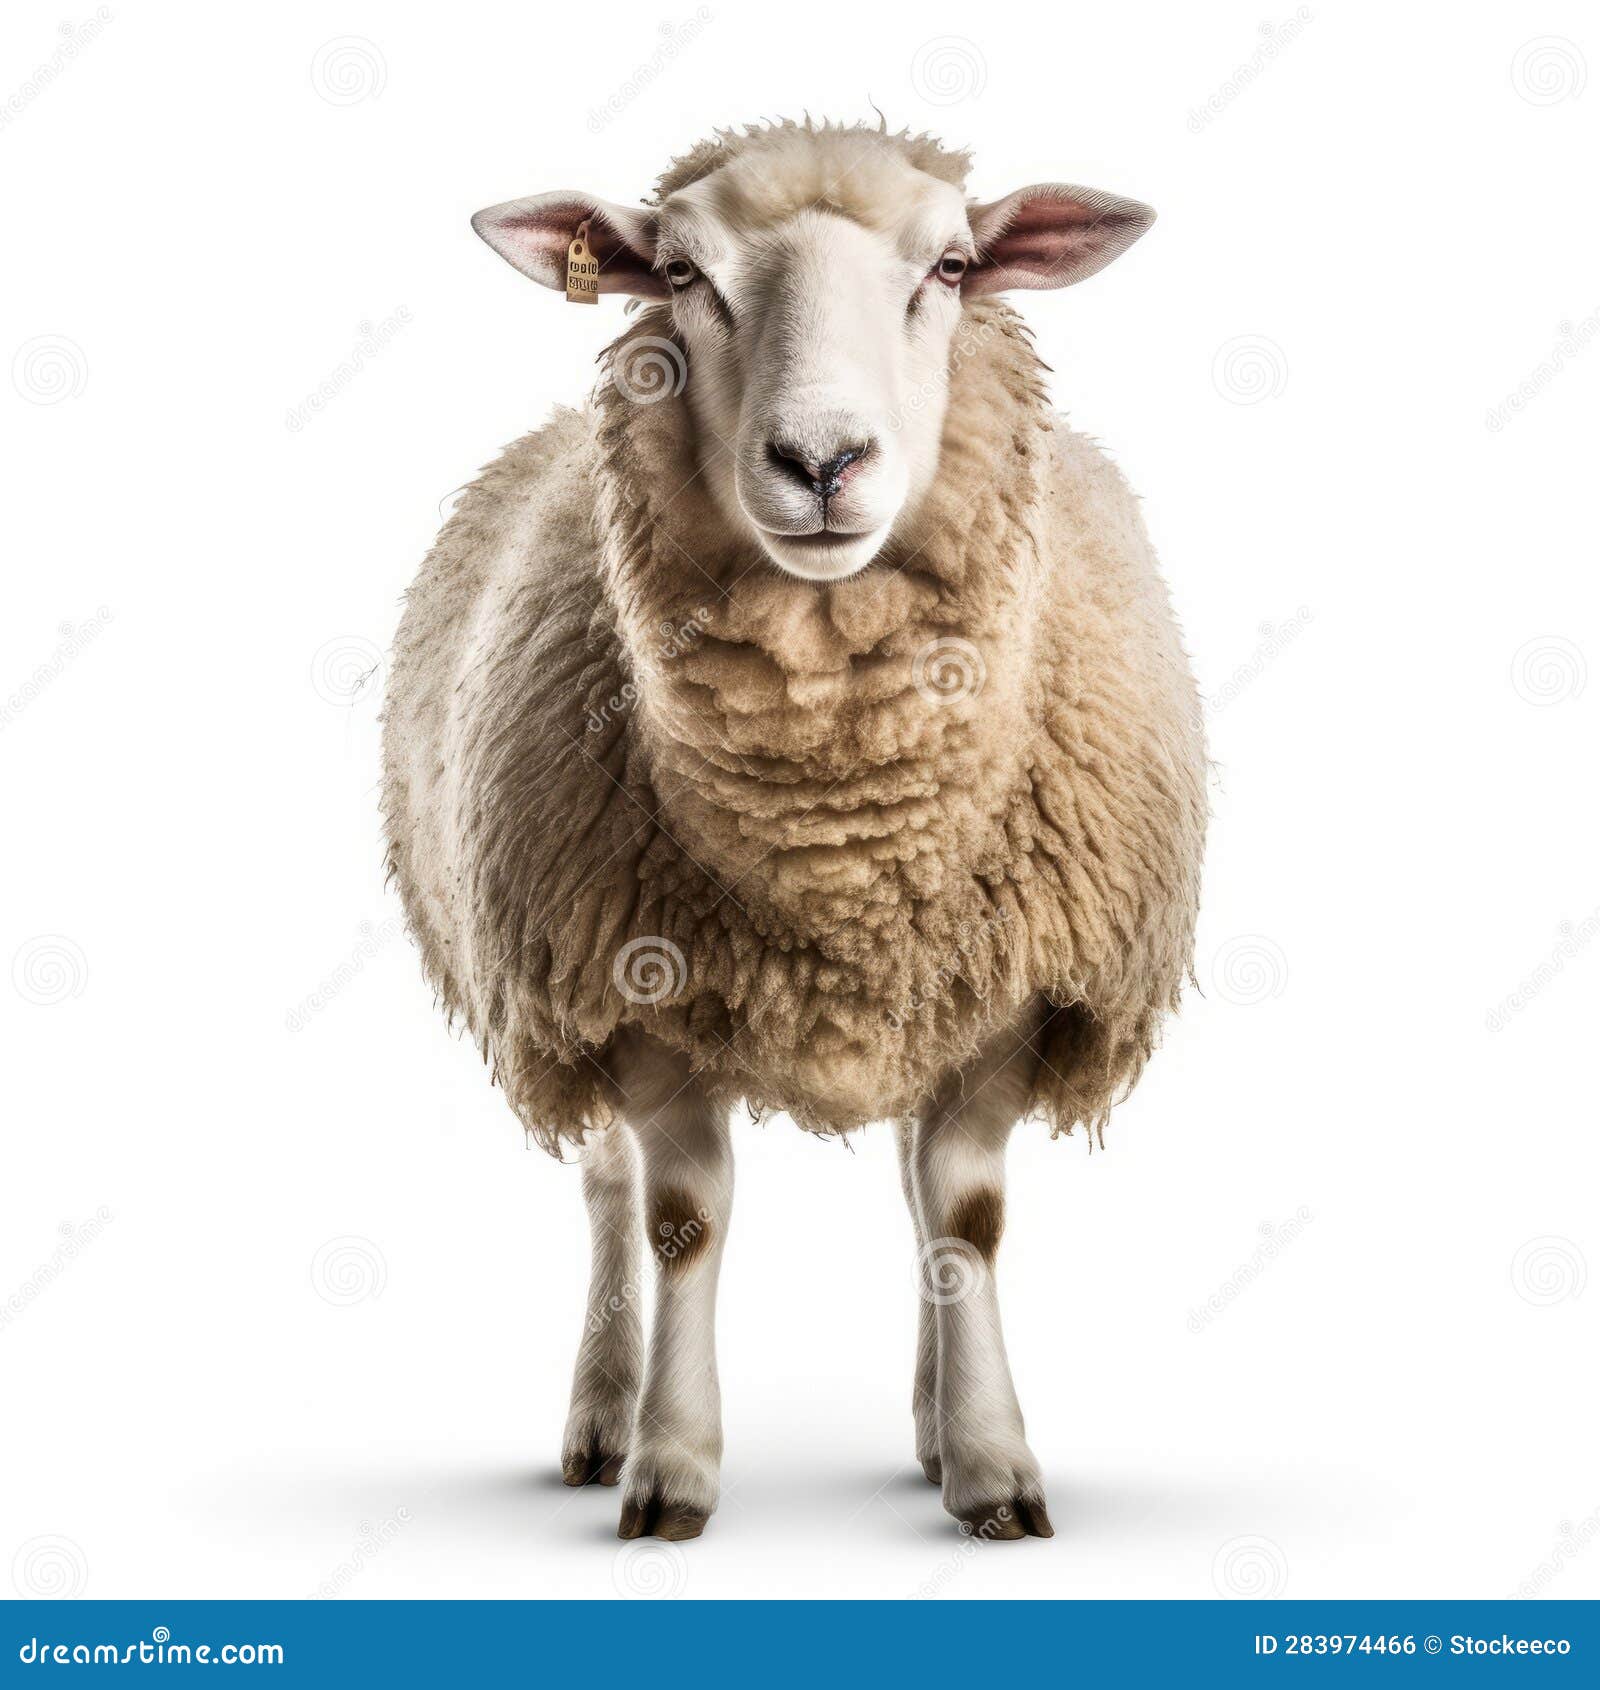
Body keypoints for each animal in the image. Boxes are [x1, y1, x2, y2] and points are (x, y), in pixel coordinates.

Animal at [382, 119, 1206, 1543]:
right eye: (679, 274)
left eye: (951, 265)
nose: (821, 463)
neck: (840, 845)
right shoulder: (632, 989)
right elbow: (680, 1221)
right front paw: (670, 1467)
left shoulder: (1007, 984)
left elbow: (964, 1215)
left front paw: (990, 1464)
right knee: (606, 1189)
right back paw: (600, 1417)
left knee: (915, 1184)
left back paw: (928, 1427)